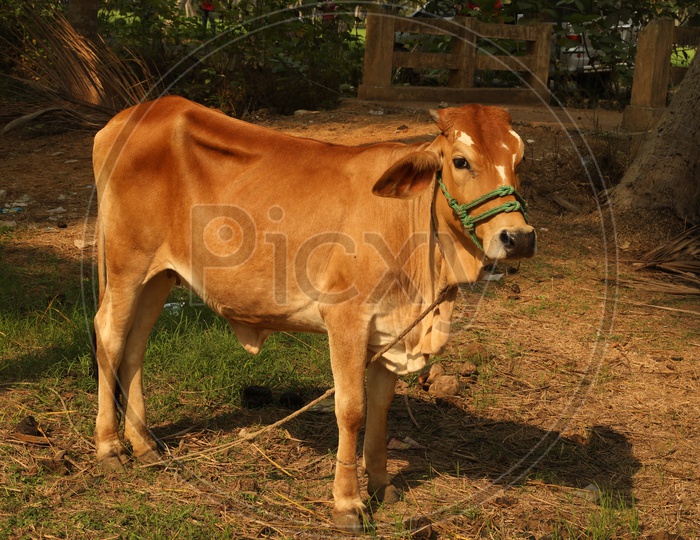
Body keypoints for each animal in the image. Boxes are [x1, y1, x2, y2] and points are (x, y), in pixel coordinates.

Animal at [91, 96, 535, 532]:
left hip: (159, 276)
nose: (518, 238)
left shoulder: (389, 328)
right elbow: (351, 409)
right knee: (109, 336)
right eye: (460, 161)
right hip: (127, 265)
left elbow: (381, 407)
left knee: (135, 348)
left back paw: (144, 445)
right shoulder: (347, 320)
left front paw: (381, 485)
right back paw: (110, 447)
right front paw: (348, 504)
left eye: (520, 158)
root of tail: (128, 117)